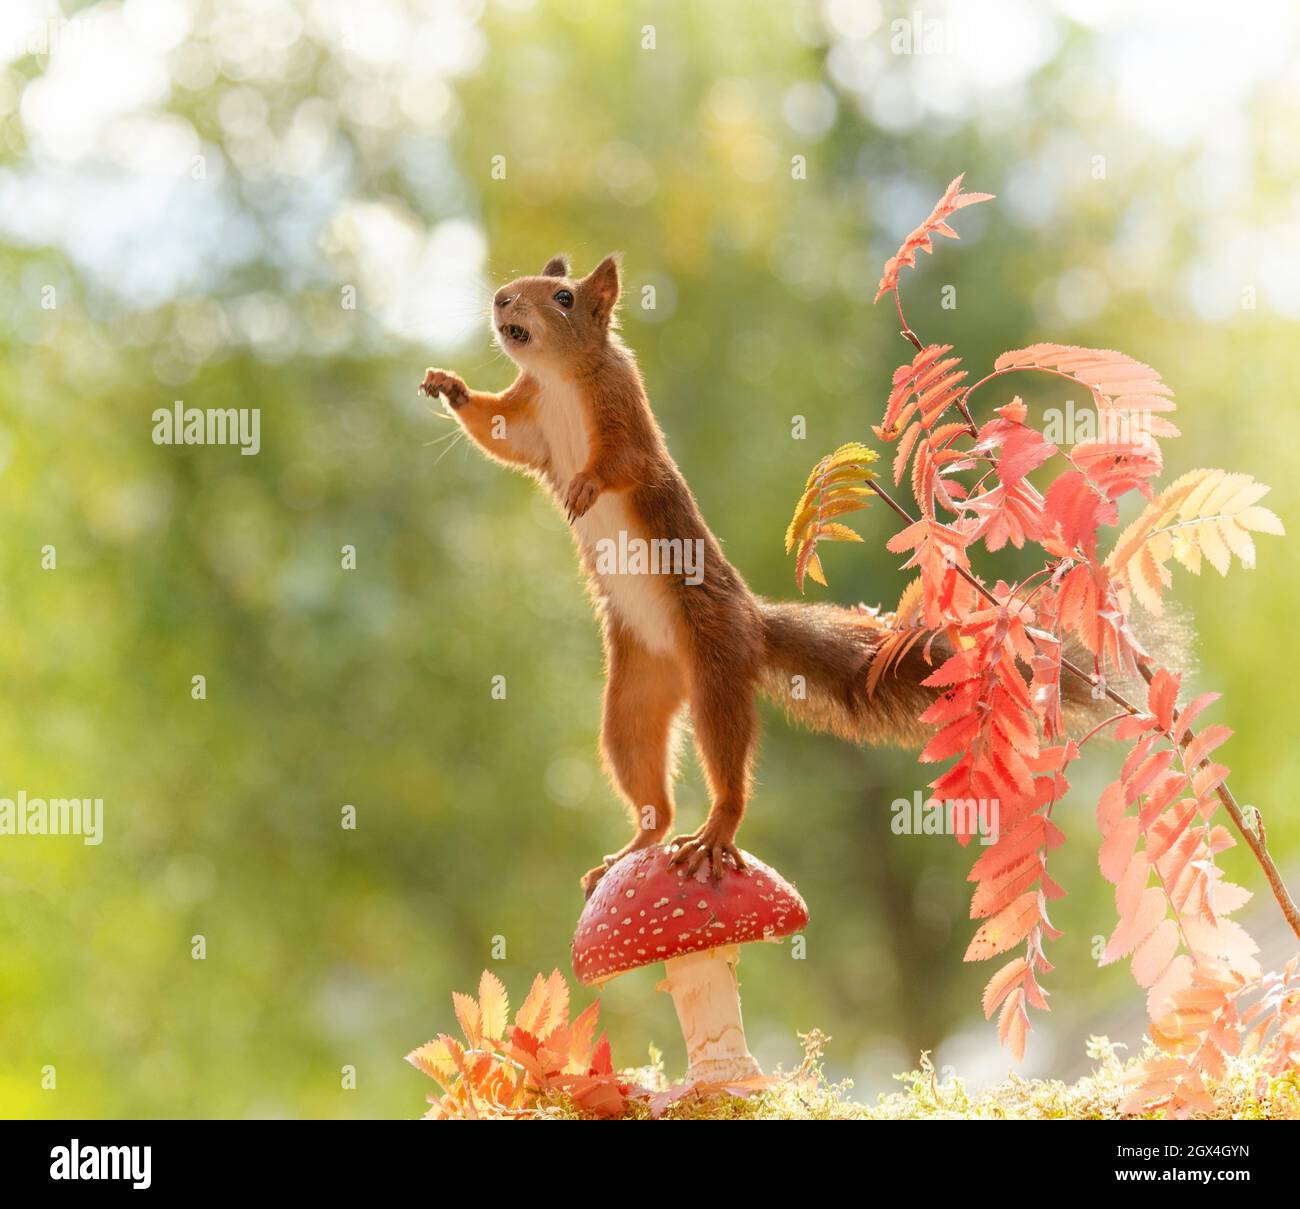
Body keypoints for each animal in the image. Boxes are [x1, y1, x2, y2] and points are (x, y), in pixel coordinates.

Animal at [421, 254, 1024, 896]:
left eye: (563, 297)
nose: (501, 299)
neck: (559, 379)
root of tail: (751, 627)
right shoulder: (528, 420)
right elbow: (497, 433)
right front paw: (450, 386)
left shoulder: (626, 417)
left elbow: (622, 463)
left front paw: (586, 484)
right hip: (634, 697)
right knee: (647, 781)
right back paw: (632, 848)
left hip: (717, 664)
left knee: (727, 757)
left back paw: (715, 830)